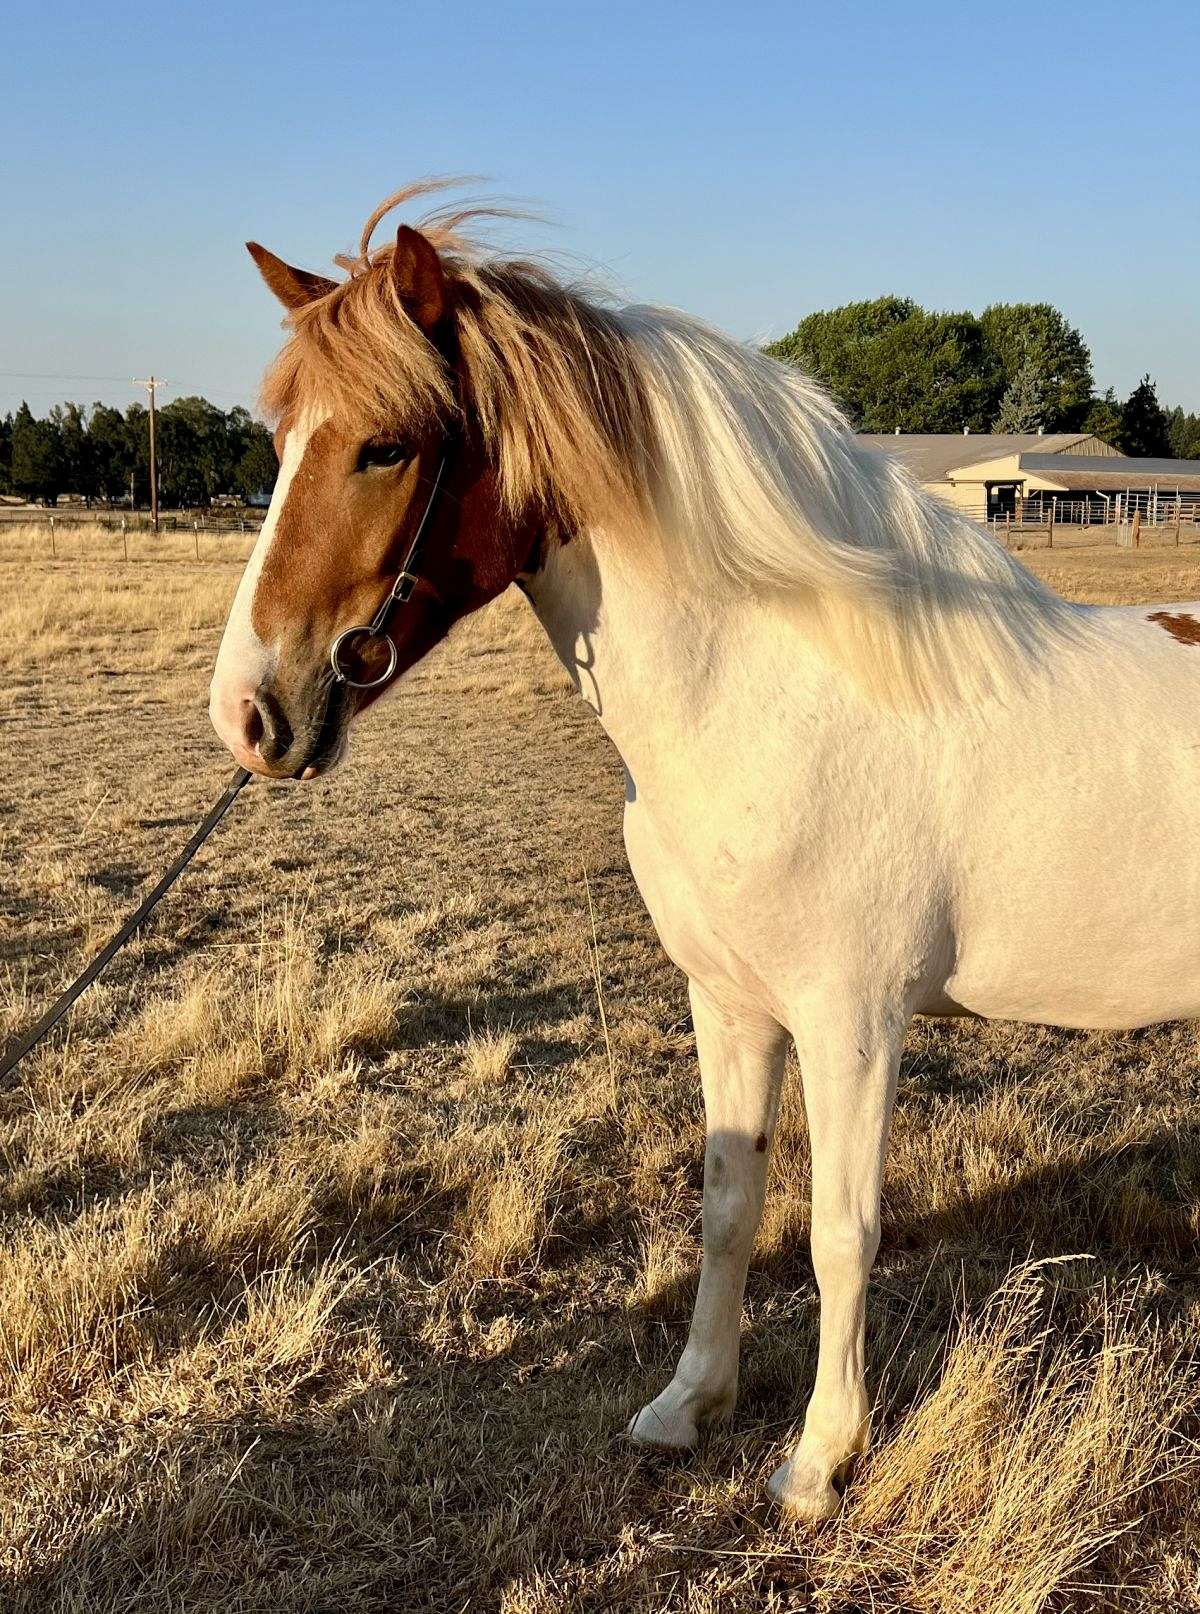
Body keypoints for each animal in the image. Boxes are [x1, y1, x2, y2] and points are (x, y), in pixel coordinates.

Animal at [209, 182, 1200, 1521]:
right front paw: (691, 1405)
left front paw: (819, 1460)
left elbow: (841, 1229)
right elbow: (729, 1201)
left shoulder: (850, 1021)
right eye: (278, 444)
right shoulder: (731, 1004)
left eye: (385, 447)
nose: (249, 714)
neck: (781, 693)